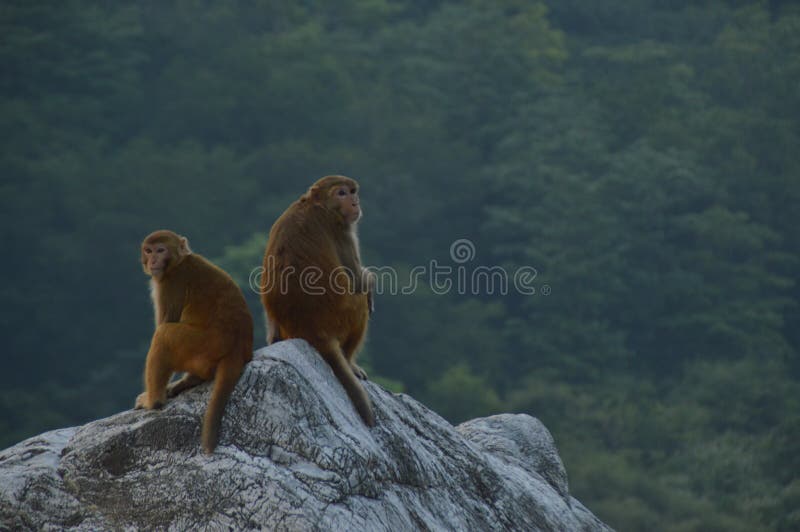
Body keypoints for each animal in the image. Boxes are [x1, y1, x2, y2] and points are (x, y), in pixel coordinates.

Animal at [135, 230, 253, 454]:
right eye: (149, 250)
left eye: (160, 250)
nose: (153, 260)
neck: (178, 263)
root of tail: (238, 349)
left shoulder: (170, 284)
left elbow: (166, 322)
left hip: (200, 344)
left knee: (164, 334)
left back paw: (154, 401)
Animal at [261, 175, 376, 426]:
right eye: (342, 193)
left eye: (353, 191)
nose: (355, 202)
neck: (316, 204)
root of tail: (312, 329)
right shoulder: (342, 231)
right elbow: (358, 280)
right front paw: (371, 281)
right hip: (342, 317)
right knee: (360, 303)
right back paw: (349, 362)